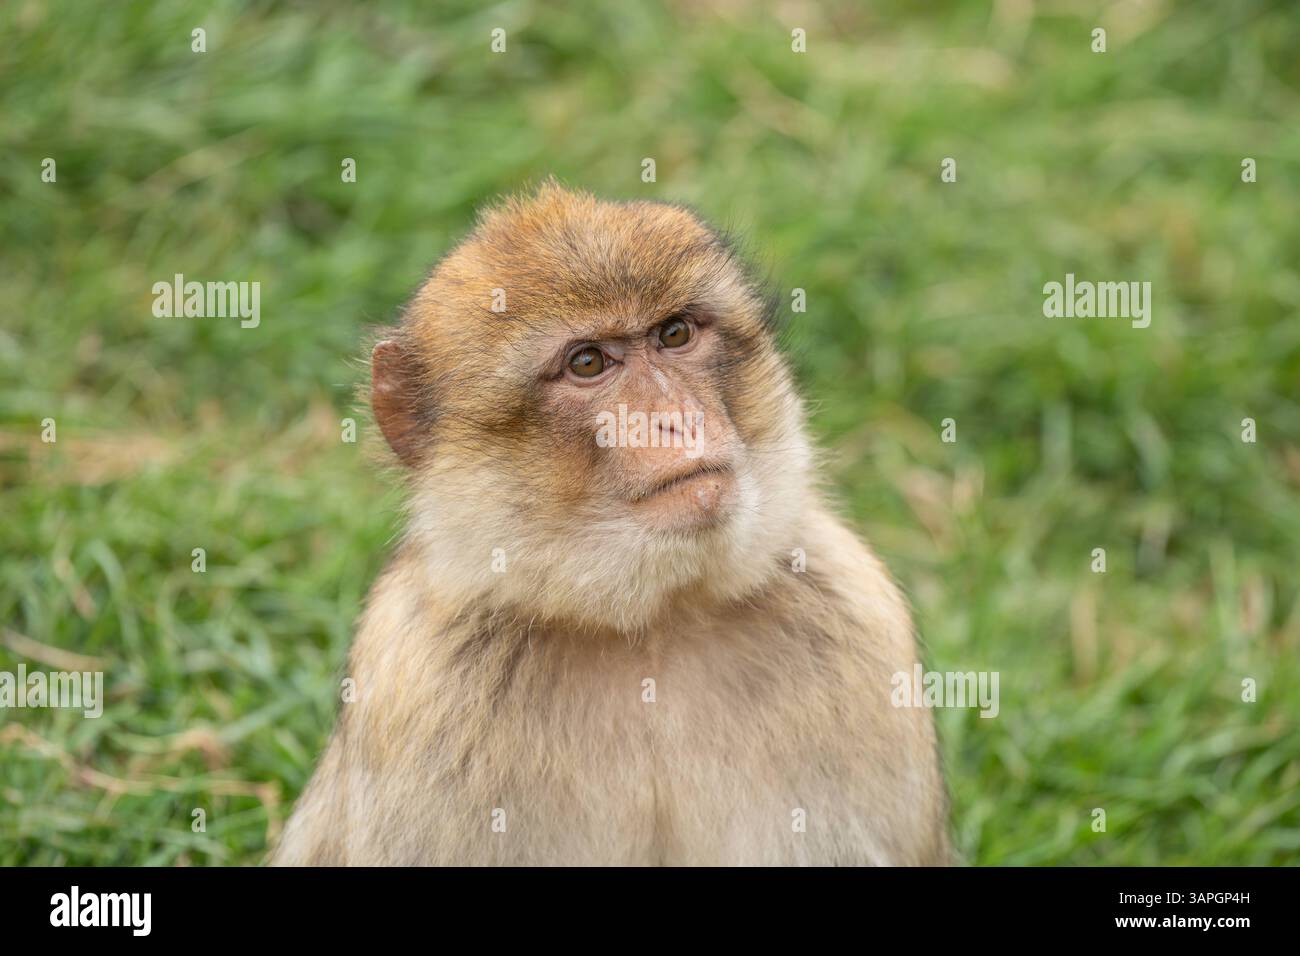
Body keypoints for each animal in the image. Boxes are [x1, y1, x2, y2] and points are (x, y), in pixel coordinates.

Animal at [271, 182, 951, 866]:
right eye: (588, 363)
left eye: (674, 333)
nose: (676, 419)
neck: (654, 623)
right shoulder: (420, 690)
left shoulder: (858, 625)